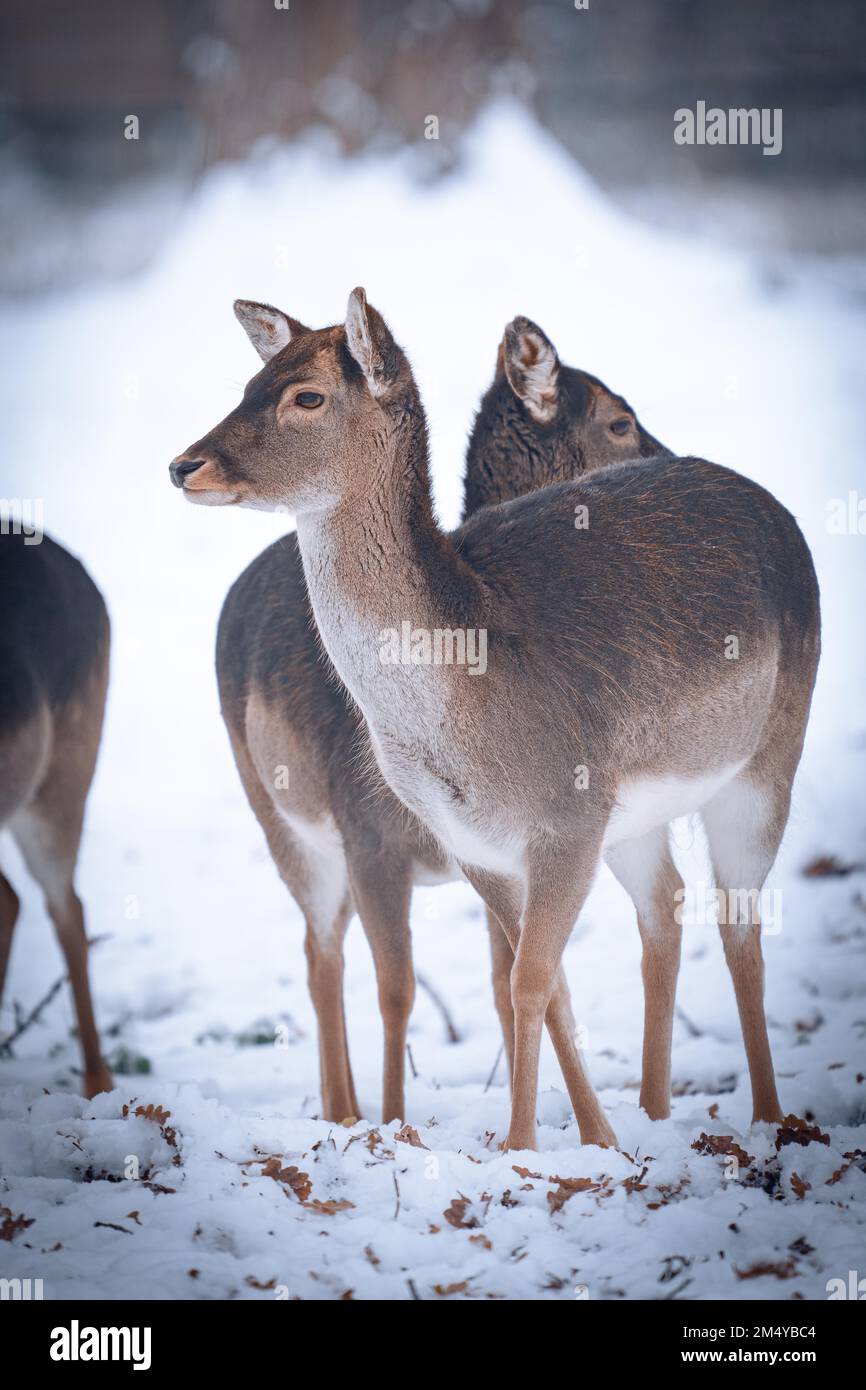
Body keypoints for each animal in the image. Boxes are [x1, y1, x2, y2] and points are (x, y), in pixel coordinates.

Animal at [170, 291, 820, 1151]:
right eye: (250, 381)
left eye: (306, 395)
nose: (184, 465)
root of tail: (773, 503)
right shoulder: (476, 845)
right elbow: (537, 984)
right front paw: (596, 1142)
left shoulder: (566, 817)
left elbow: (528, 981)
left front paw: (524, 1146)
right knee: (666, 906)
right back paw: (652, 1114)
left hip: (769, 755)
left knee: (741, 926)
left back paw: (769, 1119)